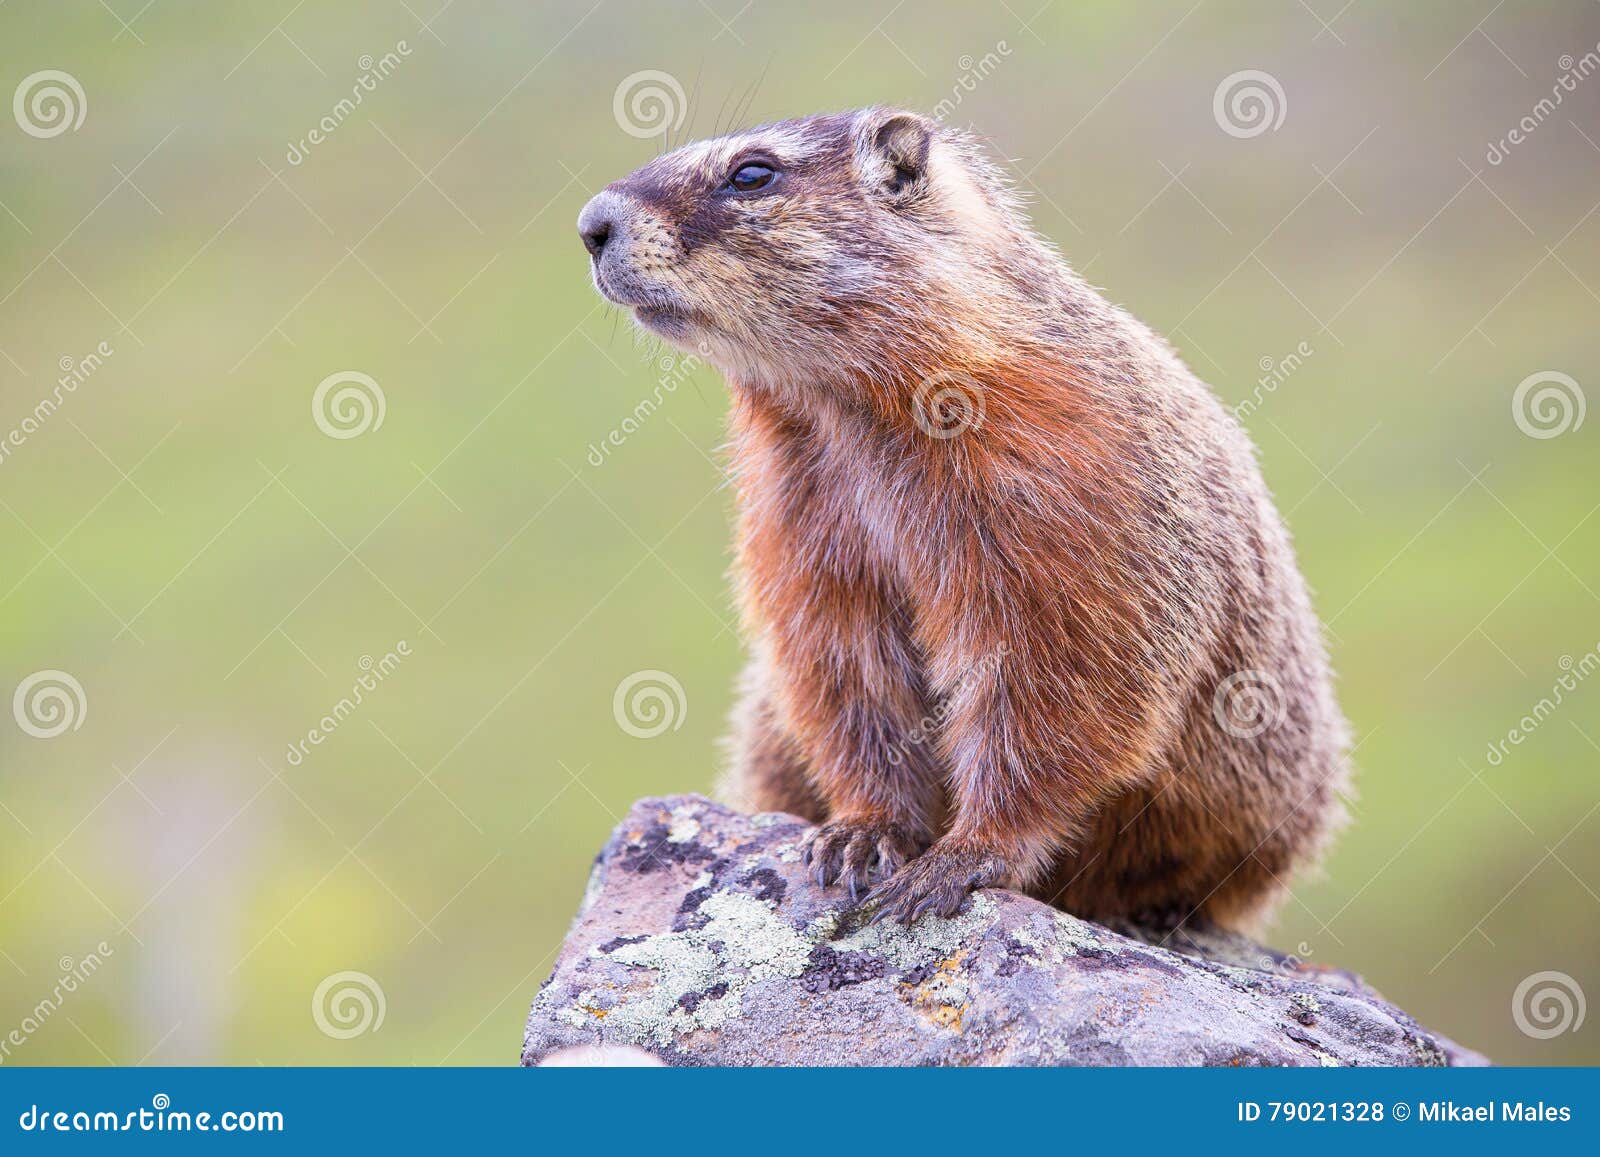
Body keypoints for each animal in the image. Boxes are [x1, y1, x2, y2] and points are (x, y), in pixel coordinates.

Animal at [578, 108, 1350, 932]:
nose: (590, 224)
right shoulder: (792, 504)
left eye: (753, 173)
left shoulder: (1057, 477)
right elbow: (839, 651)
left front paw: (960, 857)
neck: (839, 411)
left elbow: (1056, 663)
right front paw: (862, 832)